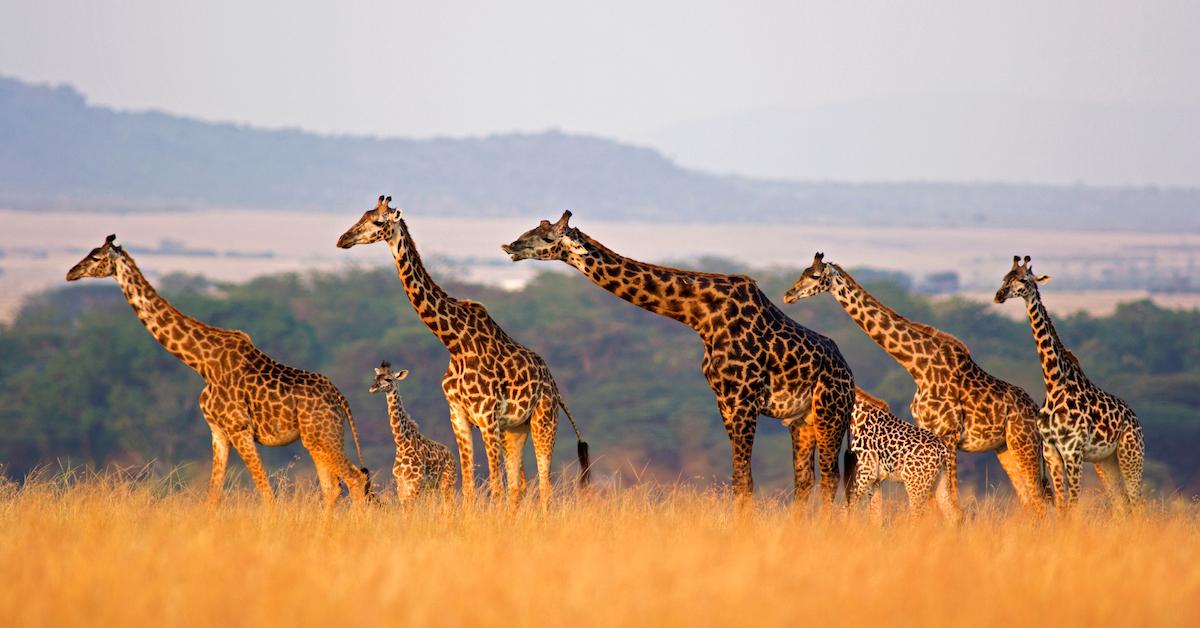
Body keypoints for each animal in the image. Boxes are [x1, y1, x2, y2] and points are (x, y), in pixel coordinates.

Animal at [66, 235, 371, 512]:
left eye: (95, 257)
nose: (71, 273)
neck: (201, 363)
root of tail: (341, 399)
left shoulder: (239, 428)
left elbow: (266, 493)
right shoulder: (218, 431)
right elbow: (213, 496)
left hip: (321, 436)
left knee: (355, 479)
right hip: (317, 439)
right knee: (334, 488)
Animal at [369, 361, 456, 505]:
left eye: (388, 379)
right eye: (375, 378)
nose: (372, 388)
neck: (402, 443)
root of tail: (451, 455)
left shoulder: (415, 482)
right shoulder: (401, 484)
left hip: (447, 482)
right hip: (432, 486)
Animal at [502, 211, 855, 508]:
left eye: (547, 237)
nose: (510, 246)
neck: (701, 315)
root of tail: (850, 378)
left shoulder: (744, 399)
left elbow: (744, 479)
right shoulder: (724, 401)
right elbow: (739, 479)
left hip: (830, 413)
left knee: (830, 478)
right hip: (802, 420)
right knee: (805, 480)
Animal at [830, 388, 960, 524]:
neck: (858, 419)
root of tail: (944, 450)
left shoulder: (865, 474)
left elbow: (845, 511)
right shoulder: (875, 481)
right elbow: (875, 516)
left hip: (915, 485)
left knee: (919, 517)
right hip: (940, 481)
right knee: (953, 514)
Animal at [994, 255, 1144, 512]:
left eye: (1023, 280)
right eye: (1005, 278)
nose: (999, 295)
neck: (1055, 383)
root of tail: (1136, 421)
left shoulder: (1073, 452)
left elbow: (1072, 506)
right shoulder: (1051, 452)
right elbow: (1062, 506)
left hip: (1131, 454)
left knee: (1138, 503)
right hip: (1106, 461)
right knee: (1122, 504)